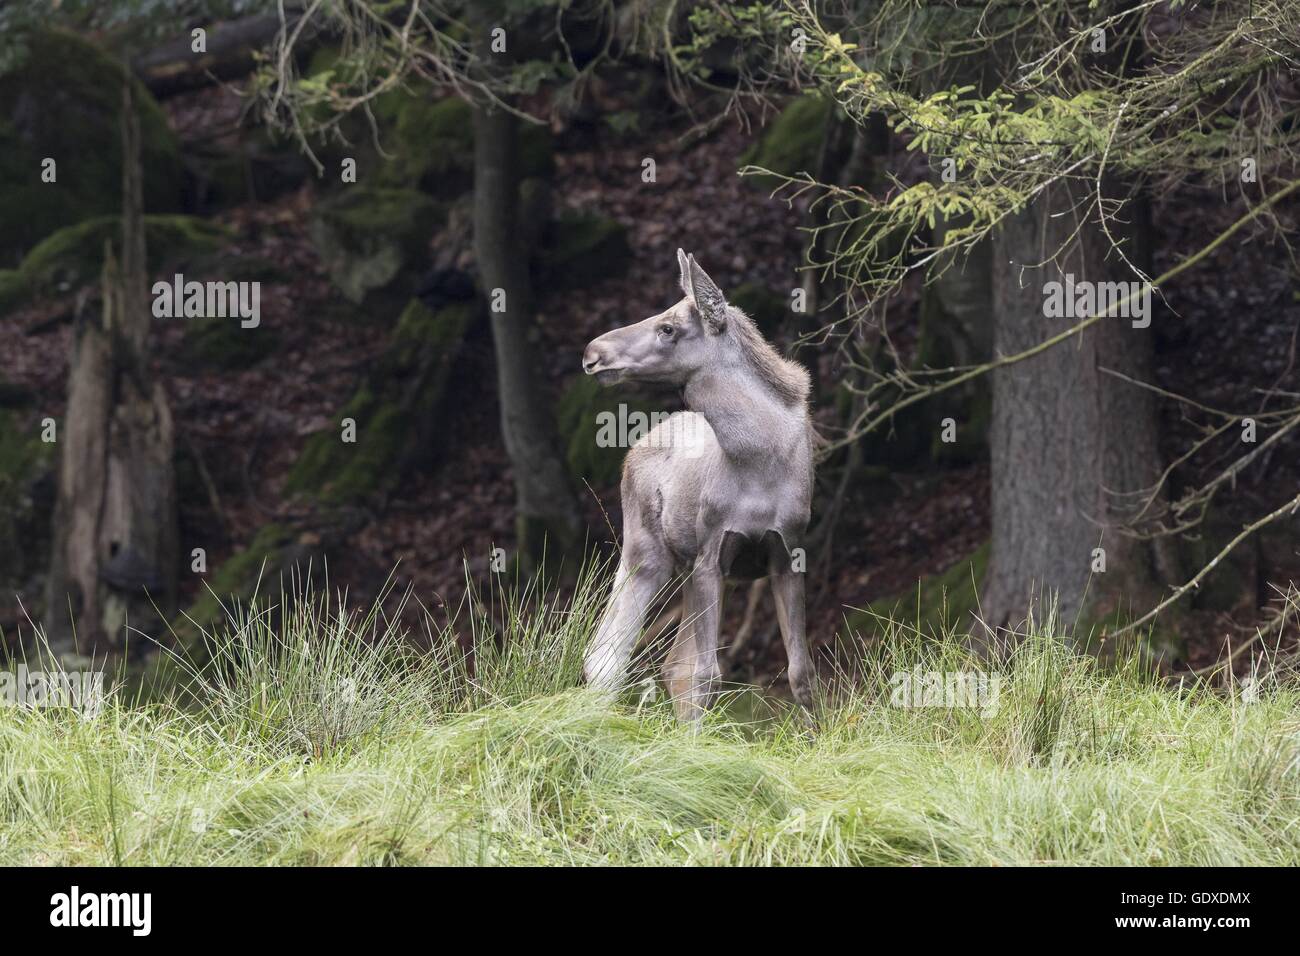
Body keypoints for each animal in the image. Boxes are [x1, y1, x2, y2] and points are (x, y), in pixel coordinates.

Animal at [580, 249, 817, 723]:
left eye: (668, 327)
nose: (592, 353)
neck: (759, 461)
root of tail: (631, 454)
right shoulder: (712, 551)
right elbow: (708, 673)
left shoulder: (788, 551)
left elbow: (800, 670)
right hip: (645, 553)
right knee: (607, 656)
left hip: (682, 567)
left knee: (669, 664)